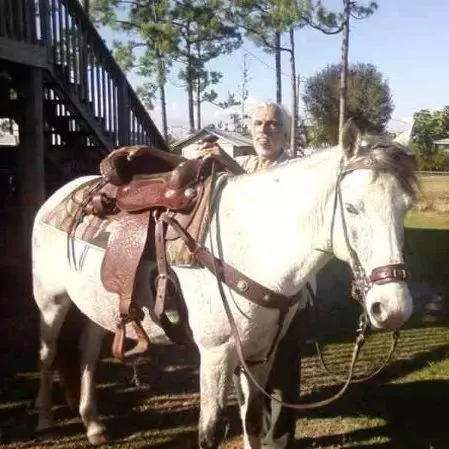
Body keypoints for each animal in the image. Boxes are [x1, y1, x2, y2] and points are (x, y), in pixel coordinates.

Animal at [30, 120, 416, 448]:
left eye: (406, 207)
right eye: (351, 208)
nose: (394, 308)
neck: (248, 244)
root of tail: (59, 196)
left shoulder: (261, 353)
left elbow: (255, 421)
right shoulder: (216, 353)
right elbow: (210, 432)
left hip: (97, 307)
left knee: (87, 354)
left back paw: (93, 424)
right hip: (51, 301)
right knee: (48, 353)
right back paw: (45, 419)